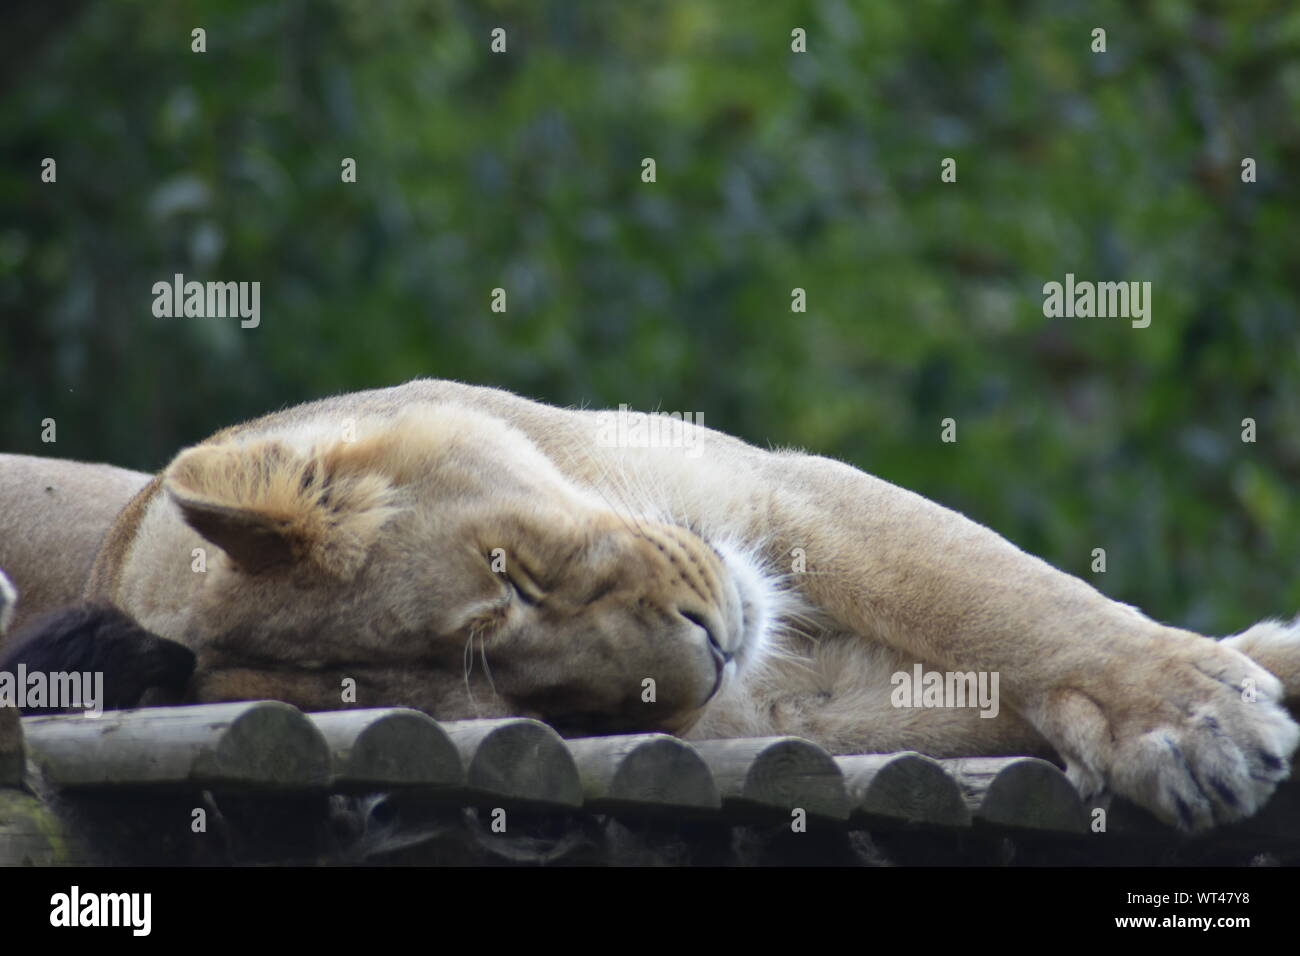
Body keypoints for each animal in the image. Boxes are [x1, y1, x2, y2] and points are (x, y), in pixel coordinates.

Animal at [3, 378, 1298, 831]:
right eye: (561, 720)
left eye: (511, 573)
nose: (713, 646)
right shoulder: (808, 711)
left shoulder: (777, 487)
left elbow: (1007, 599)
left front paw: (1200, 714)